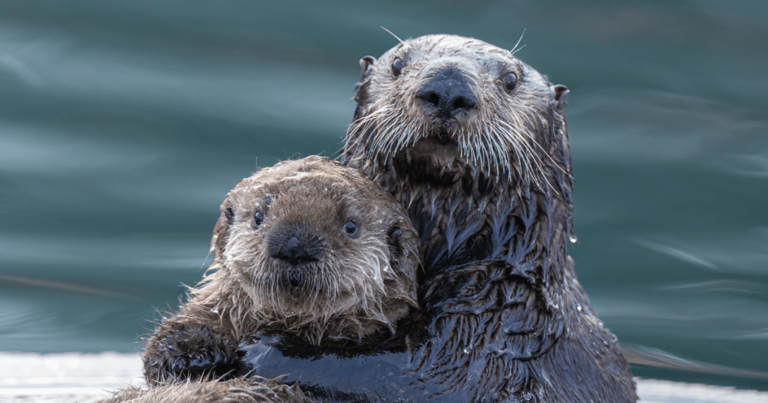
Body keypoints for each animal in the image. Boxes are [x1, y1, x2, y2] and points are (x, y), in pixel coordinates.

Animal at [241, 34, 636, 403]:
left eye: (510, 78)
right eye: (398, 64)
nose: (448, 88)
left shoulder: (496, 328)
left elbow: (416, 376)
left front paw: (260, 347)